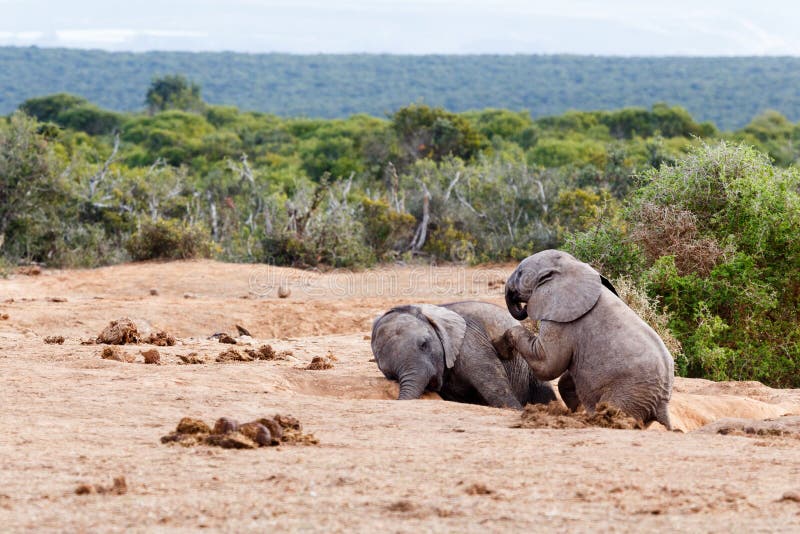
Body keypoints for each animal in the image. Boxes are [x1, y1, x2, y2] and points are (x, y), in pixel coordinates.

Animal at [503, 250, 674, 429]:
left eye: (520, 273)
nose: (523, 308)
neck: (570, 266)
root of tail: (663, 402)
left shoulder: (562, 319)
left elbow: (547, 365)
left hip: (630, 392)